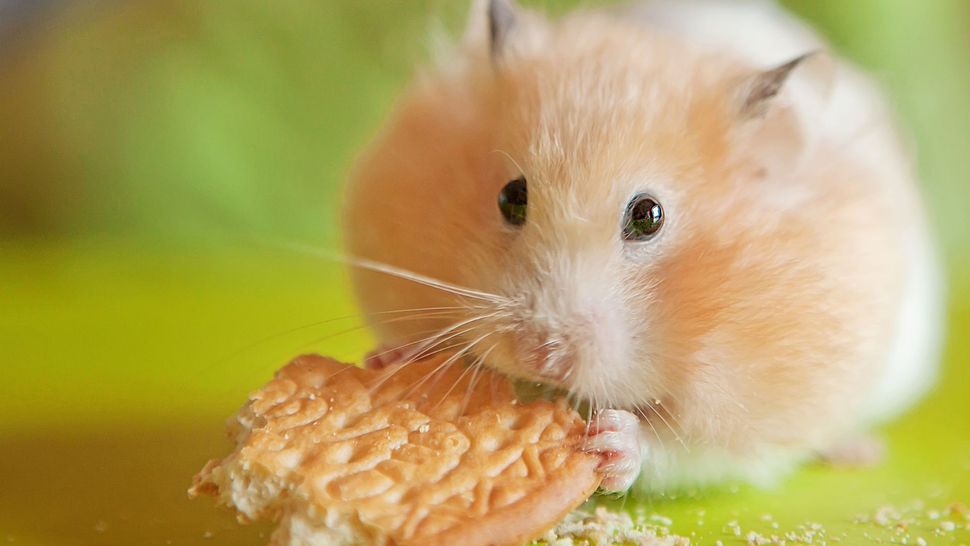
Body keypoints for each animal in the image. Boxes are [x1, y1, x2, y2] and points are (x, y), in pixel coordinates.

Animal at [342, 0, 944, 493]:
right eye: (510, 197)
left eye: (648, 216)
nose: (544, 358)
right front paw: (389, 359)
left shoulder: (757, 410)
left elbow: (686, 448)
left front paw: (610, 442)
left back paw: (856, 450)